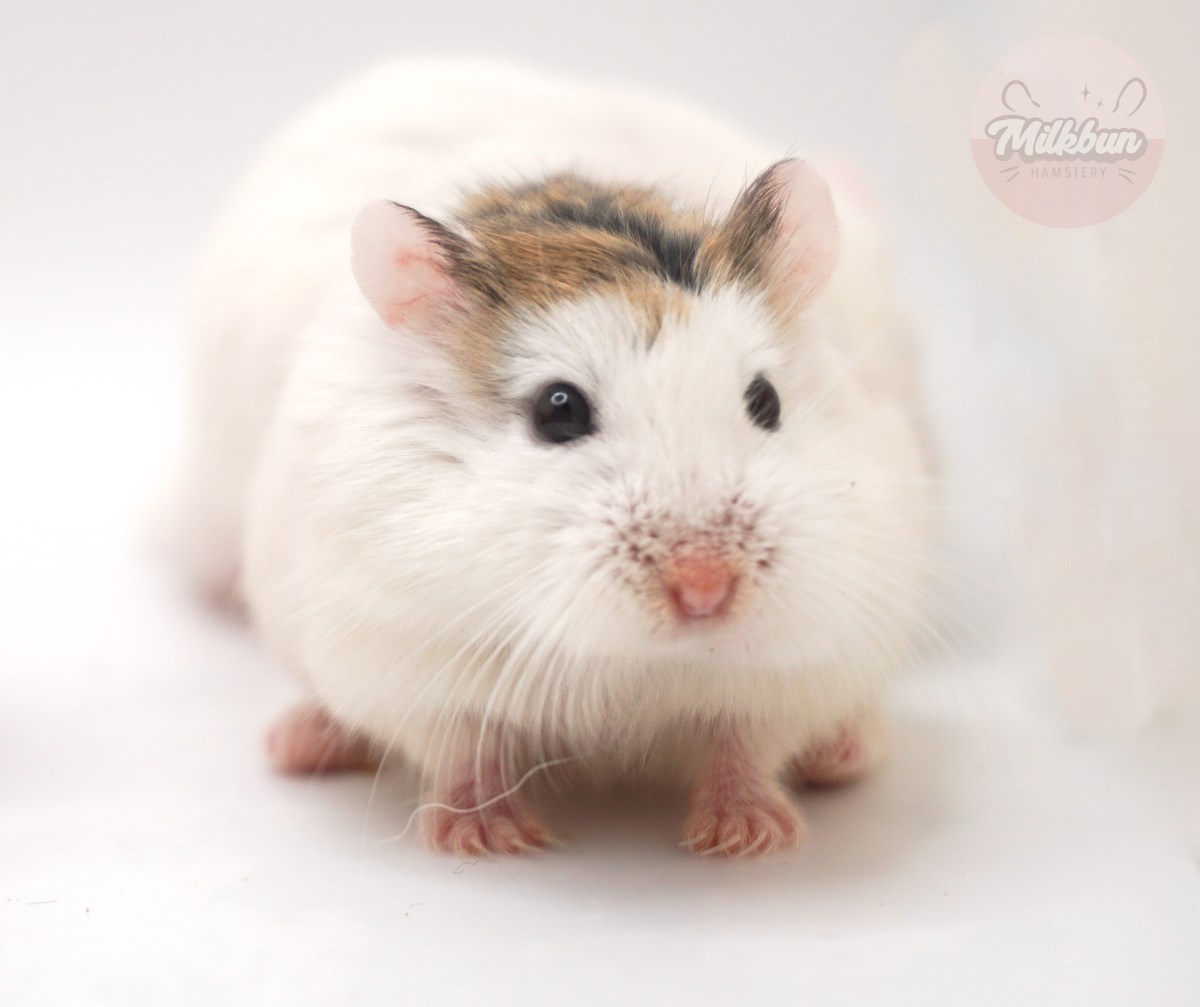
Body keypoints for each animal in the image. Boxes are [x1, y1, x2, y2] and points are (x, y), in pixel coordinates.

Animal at [175, 58, 936, 856]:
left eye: (766, 401)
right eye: (558, 411)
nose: (704, 590)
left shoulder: (812, 657)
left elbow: (747, 745)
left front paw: (750, 837)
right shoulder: (403, 655)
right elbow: (462, 749)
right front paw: (487, 839)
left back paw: (845, 752)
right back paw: (299, 742)